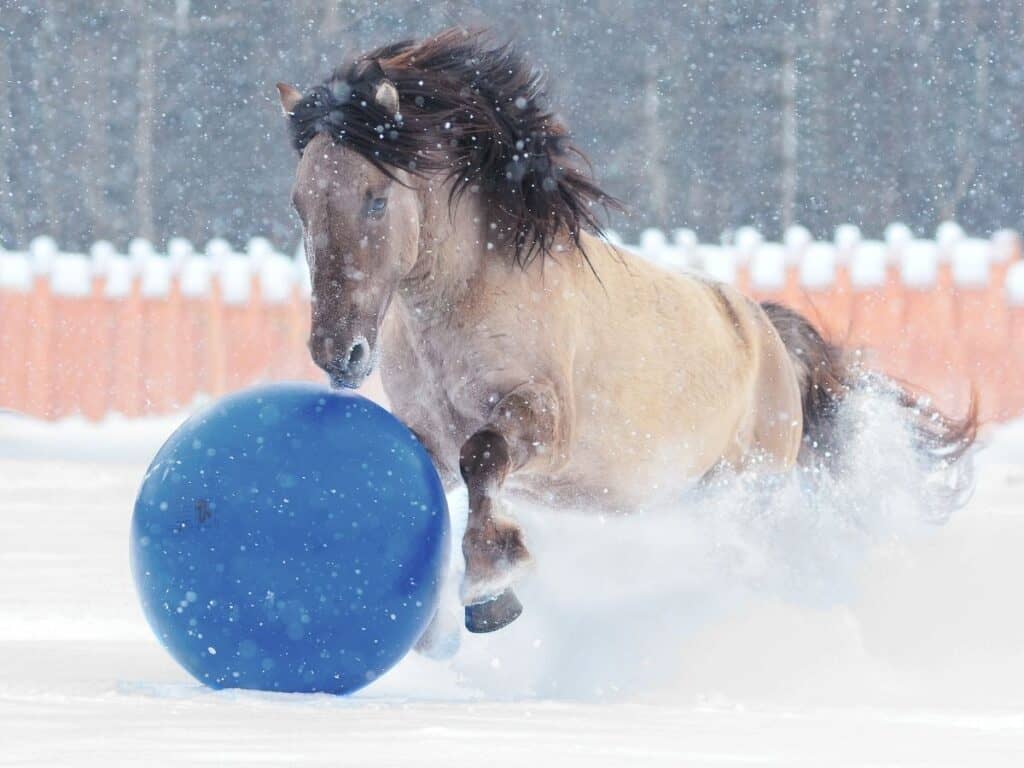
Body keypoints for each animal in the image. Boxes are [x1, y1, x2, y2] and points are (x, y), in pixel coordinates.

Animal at [275, 28, 976, 641]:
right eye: (300, 203)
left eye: (373, 197)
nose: (338, 353)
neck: (464, 303)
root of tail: (768, 335)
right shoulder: (431, 439)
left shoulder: (543, 422)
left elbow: (484, 457)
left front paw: (491, 589)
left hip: (747, 493)